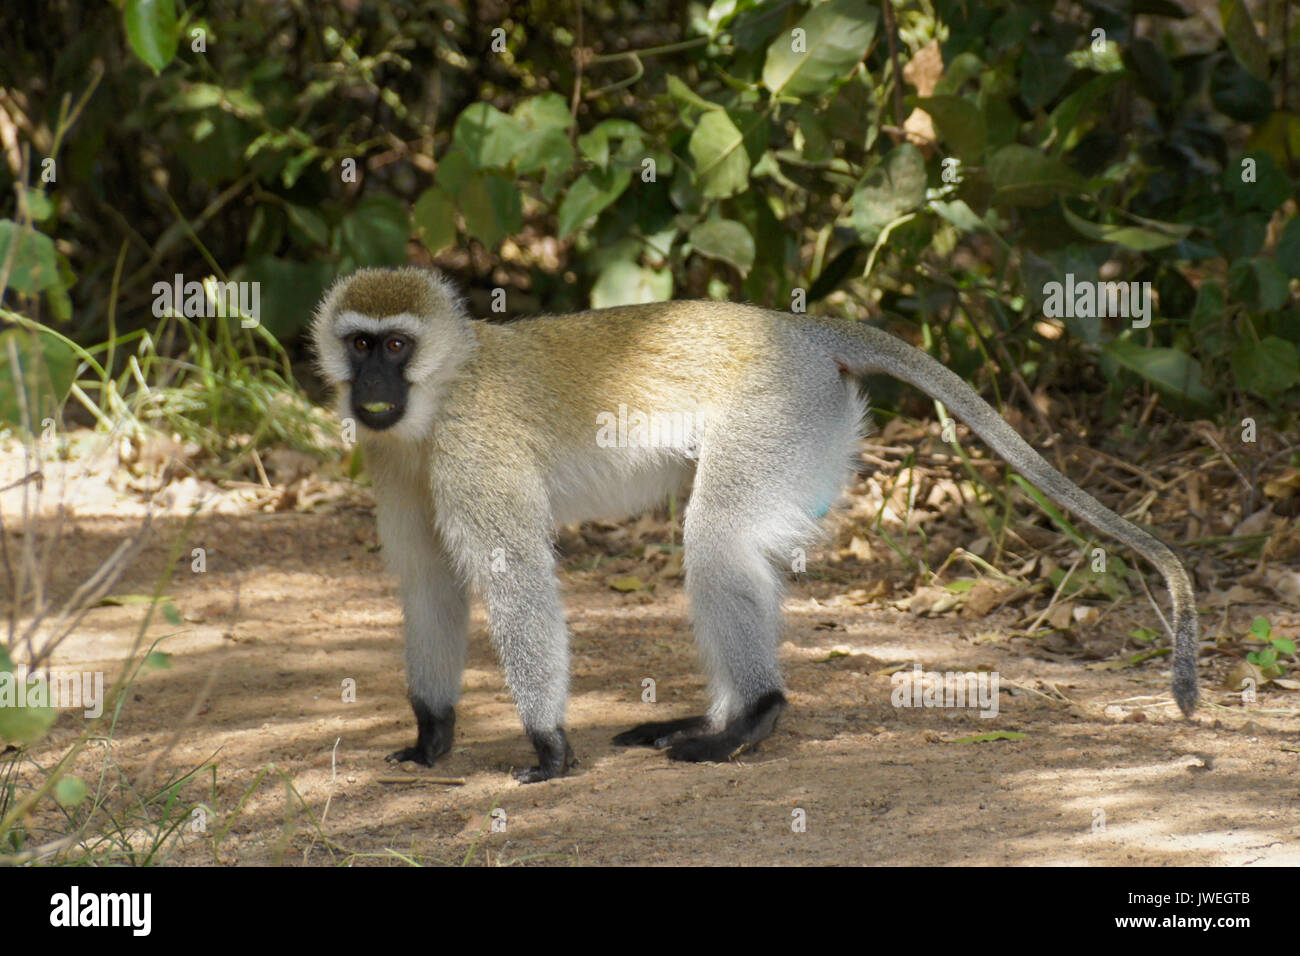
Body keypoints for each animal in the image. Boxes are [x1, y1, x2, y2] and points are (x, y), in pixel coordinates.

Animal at [310, 266, 1199, 783]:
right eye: (361, 347)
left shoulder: (473, 444)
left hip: (782, 412)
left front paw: (550, 747)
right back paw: (722, 717)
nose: (373, 389)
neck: (441, 391)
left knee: (716, 537)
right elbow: (429, 583)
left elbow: (512, 573)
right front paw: (431, 736)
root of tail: (794, 327)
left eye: (397, 345)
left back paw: (754, 716)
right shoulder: (395, 455)